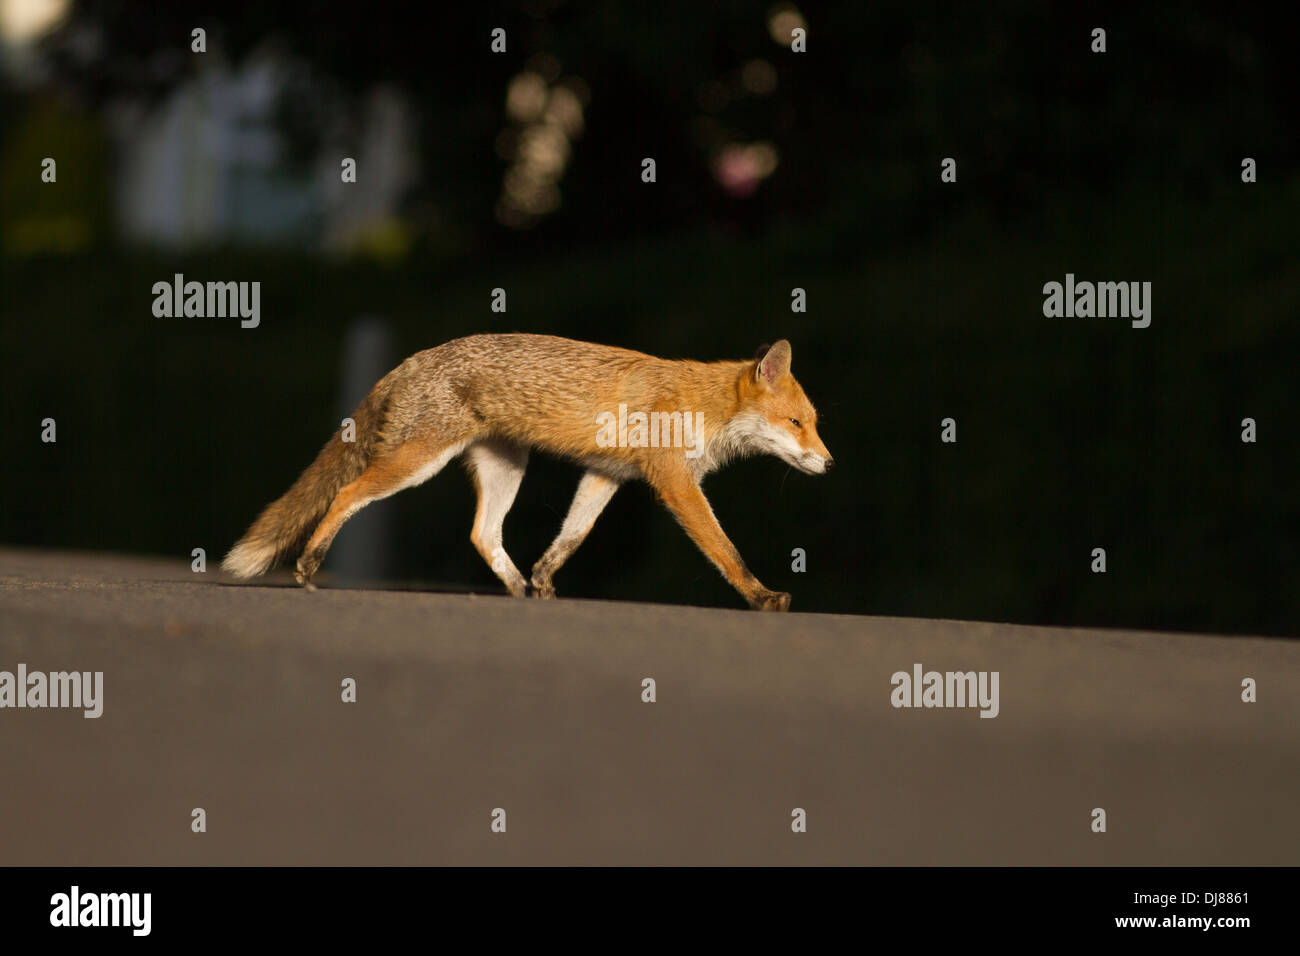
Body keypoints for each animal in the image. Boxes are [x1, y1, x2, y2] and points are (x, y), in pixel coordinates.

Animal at [222, 333, 833, 611]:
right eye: (796, 423)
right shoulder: (676, 483)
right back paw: (309, 565)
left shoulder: (606, 474)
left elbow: (572, 536)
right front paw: (761, 596)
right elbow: (725, 550)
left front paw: (542, 579)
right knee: (347, 493)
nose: (830, 463)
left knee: (482, 533)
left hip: (506, 470)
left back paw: (517, 587)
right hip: (417, 462)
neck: (702, 405)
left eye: (814, 424)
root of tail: (414, 357)